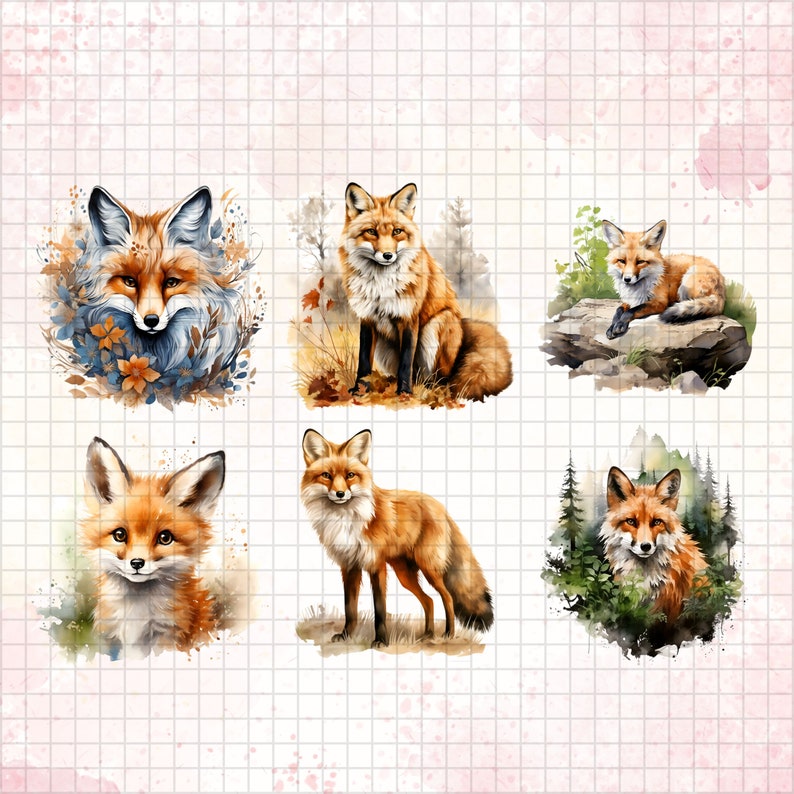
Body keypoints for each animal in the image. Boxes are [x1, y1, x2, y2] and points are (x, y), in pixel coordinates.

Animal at [301, 429, 494, 648]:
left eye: (350, 475)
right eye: (326, 475)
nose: (340, 493)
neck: (347, 520)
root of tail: (439, 506)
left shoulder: (376, 564)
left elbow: (380, 609)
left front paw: (381, 641)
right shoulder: (349, 566)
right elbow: (350, 608)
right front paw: (346, 636)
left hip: (428, 567)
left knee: (448, 597)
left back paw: (448, 634)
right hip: (405, 574)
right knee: (429, 600)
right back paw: (427, 634)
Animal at [339, 182, 513, 401]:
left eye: (397, 231)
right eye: (371, 231)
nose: (387, 255)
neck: (381, 285)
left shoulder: (409, 318)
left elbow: (406, 363)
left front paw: (404, 393)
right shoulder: (367, 318)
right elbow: (363, 362)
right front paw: (360, 390)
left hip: (437, 324)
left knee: (439, 380)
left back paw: (427, 389)